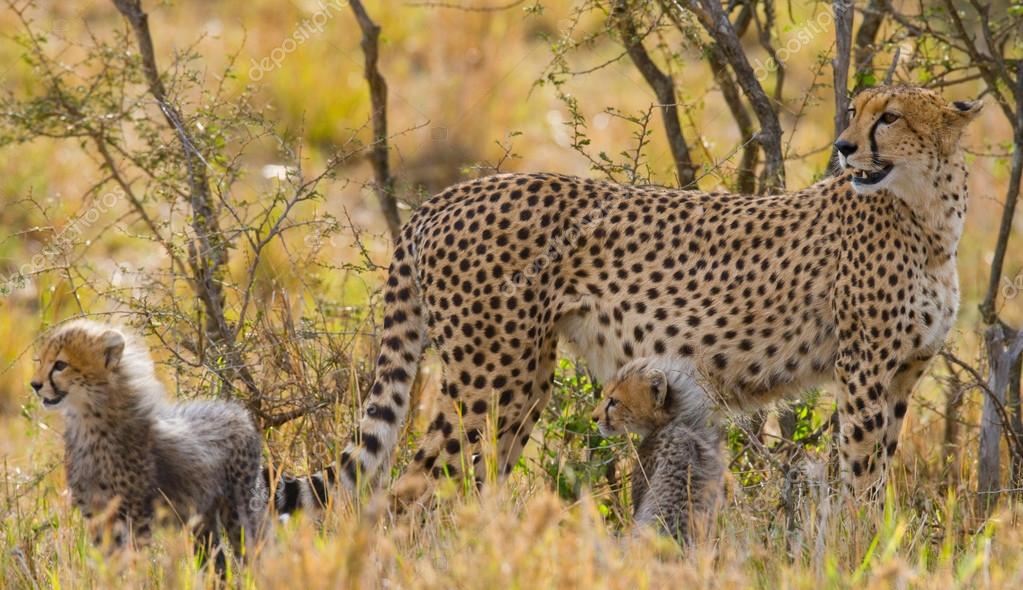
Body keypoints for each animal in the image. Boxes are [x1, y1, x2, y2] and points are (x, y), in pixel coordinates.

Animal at [30, 320, 267, 567]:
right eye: (40, 361)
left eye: (60, 364)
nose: (35, 385)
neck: (89, 421)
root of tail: (237, 411)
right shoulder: (97, 515)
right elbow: (108, 566)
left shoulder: (136, 514)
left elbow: (135, 562)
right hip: (202, 518)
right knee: (215, 562)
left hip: (239, 510)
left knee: (253, 551)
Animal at [317, 84, 980, 507]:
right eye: (854, 111)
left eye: (889, 117)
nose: (843, 147)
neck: (931, 218)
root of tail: (447, 195)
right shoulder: (863, 368)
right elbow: (863, 477)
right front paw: (853, 548)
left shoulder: (902, 374)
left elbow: (880, 473)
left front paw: (875, 542)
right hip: (490, 377)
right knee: (414, 486)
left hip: (522, 381)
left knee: (473, 482)